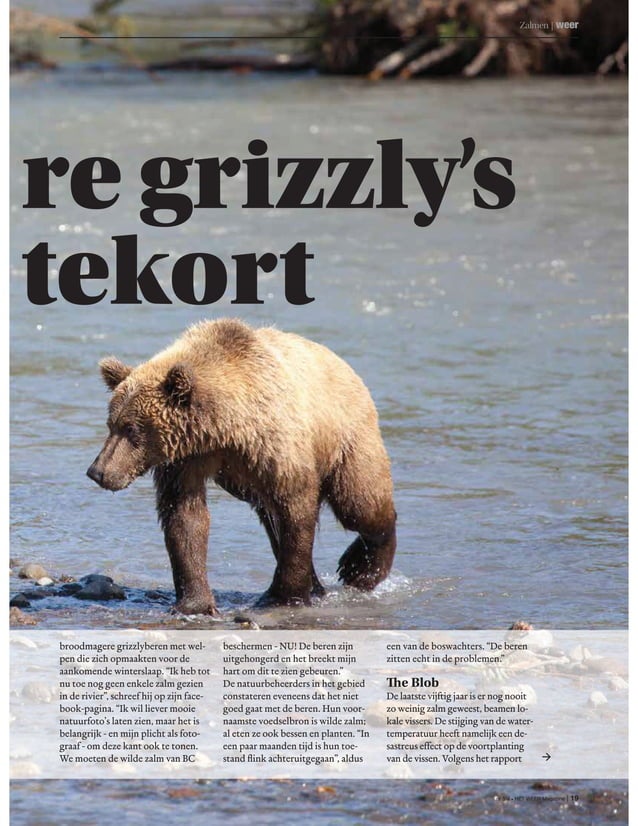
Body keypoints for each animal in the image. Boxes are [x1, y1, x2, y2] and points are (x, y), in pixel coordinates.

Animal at [87, 319, 396, 615]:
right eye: (112, 424)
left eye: (132, 429)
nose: (97, 471)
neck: (224, 428)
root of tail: (346, 367)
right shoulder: (186, 460)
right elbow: (185, 517)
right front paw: (194, 602)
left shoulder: (276, 446)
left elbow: (295, 511)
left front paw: (284, 596)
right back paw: (319, 585)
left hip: (347, 438)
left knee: (360, 503)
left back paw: (361, 569)